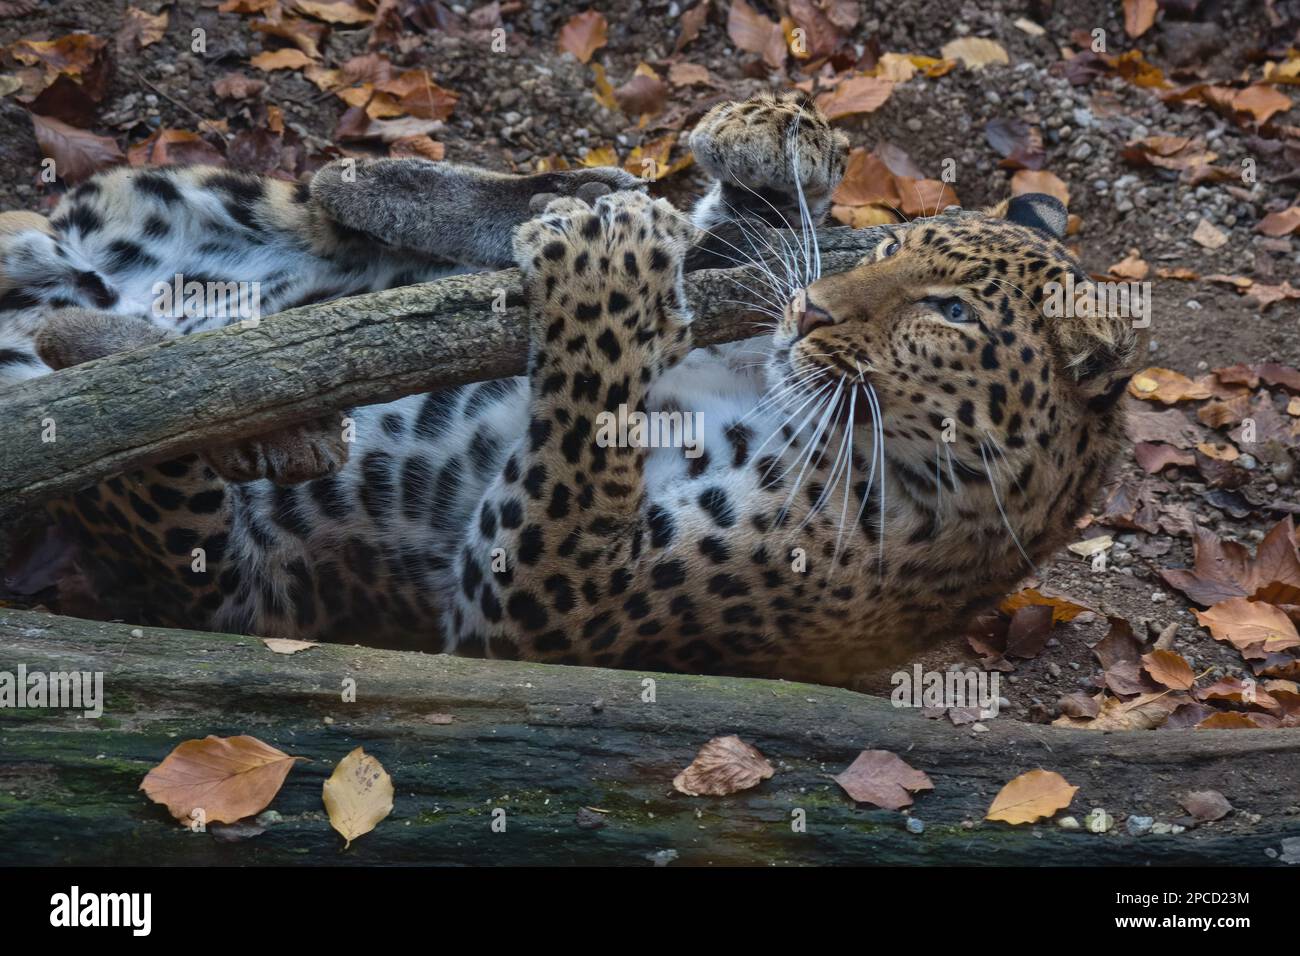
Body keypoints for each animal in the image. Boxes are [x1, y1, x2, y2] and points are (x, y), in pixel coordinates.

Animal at [3, 91, 1143, 688]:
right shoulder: (742, 296)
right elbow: (743, 233)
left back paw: (281, 429)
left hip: (225, 577)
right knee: (317, 193)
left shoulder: (545, 613)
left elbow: (588, 421)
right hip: (193, 194)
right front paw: (775, 132)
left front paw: (610, 279)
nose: (813, 312)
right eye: (899, 246)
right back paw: (503, 189)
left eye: (950, 314)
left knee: (124, 437)